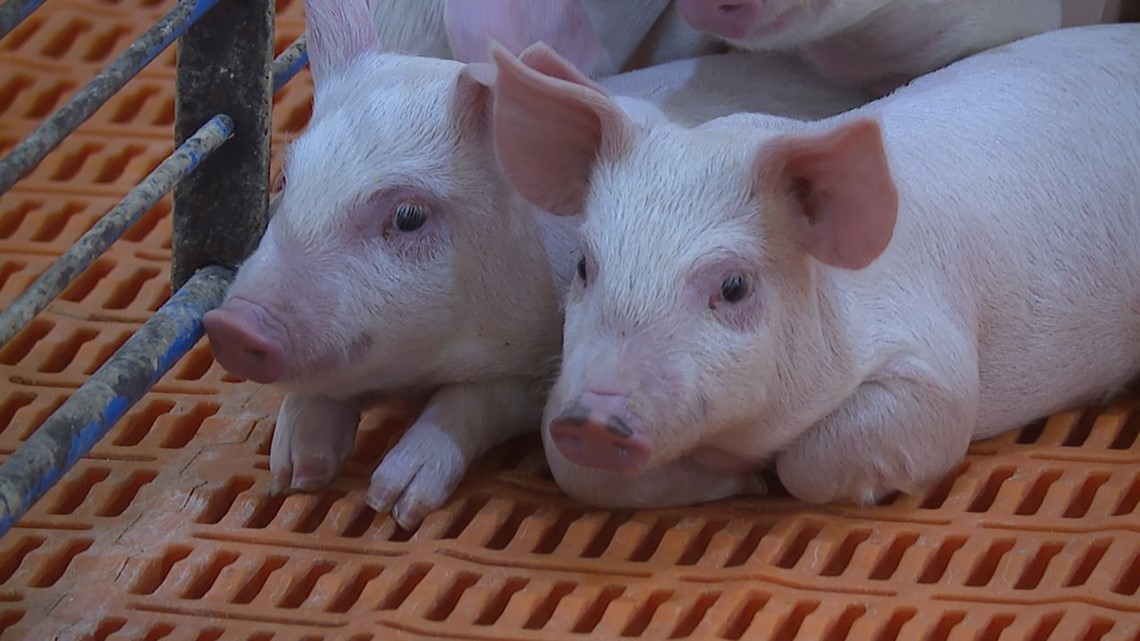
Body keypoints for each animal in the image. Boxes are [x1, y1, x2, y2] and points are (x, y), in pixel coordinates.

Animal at [203, 0, 872, 528]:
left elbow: (470, 402)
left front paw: (393, 502)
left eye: (409, 216)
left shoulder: (545, 363)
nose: (232, 325)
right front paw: (295, 475)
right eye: (286, 180)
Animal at [488, 23, 1140, 510]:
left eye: (734, 285)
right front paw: (740, 482)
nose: (591, 419)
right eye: (583, 265)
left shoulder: (937, 368)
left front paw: (759, 482)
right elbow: (571, 470)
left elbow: (814, 463)